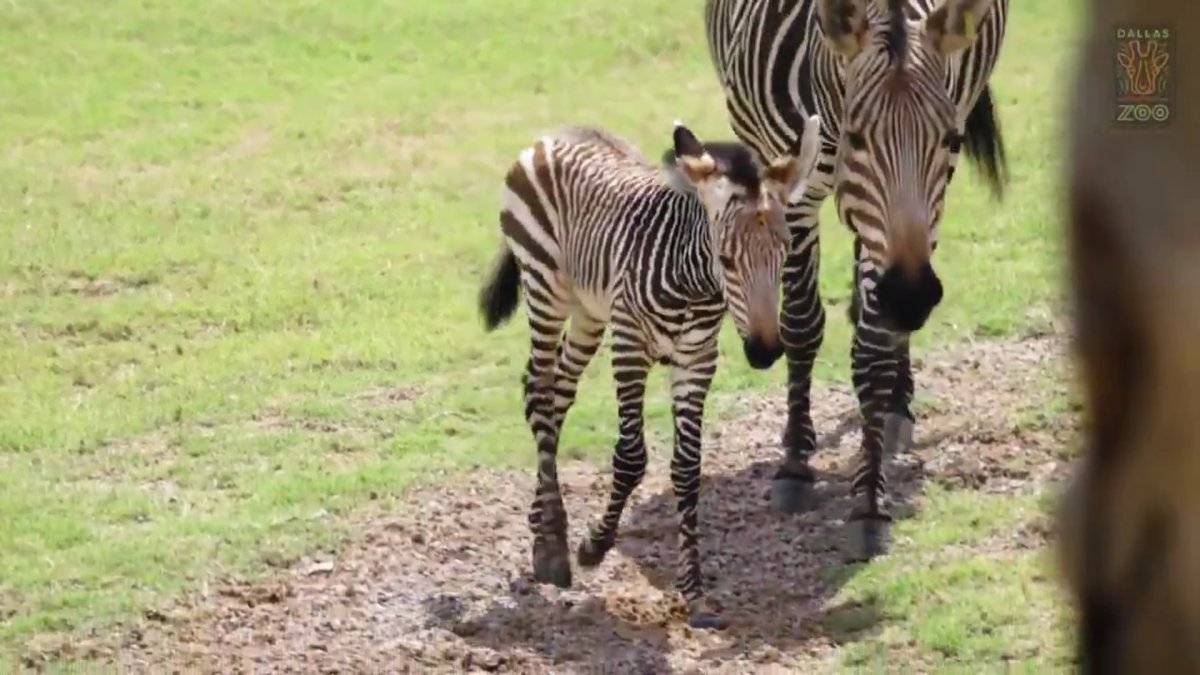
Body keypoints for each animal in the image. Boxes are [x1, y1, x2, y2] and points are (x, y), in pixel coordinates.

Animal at [477, 116, 823, 629]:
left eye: (783, 254)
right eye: (726, 260)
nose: (763, 352)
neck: (694, 284)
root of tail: (562, 131)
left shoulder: (697, 360)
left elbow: (687, 468)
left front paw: (693, 591)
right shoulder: (629, 346)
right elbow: (631, 457)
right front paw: (594, 546)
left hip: (589, 312)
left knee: (556, 395)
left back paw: (542, 524)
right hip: (546, 289)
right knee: (539, 393)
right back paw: (552, 549)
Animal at [703, 0, 1009, 560]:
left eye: (950, 138)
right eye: (857, 137)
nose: (910, 297)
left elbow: (872, 349)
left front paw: (869, 501)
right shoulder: (792, 186)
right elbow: (801, 323)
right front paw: (796, 464)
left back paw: (897, 405)